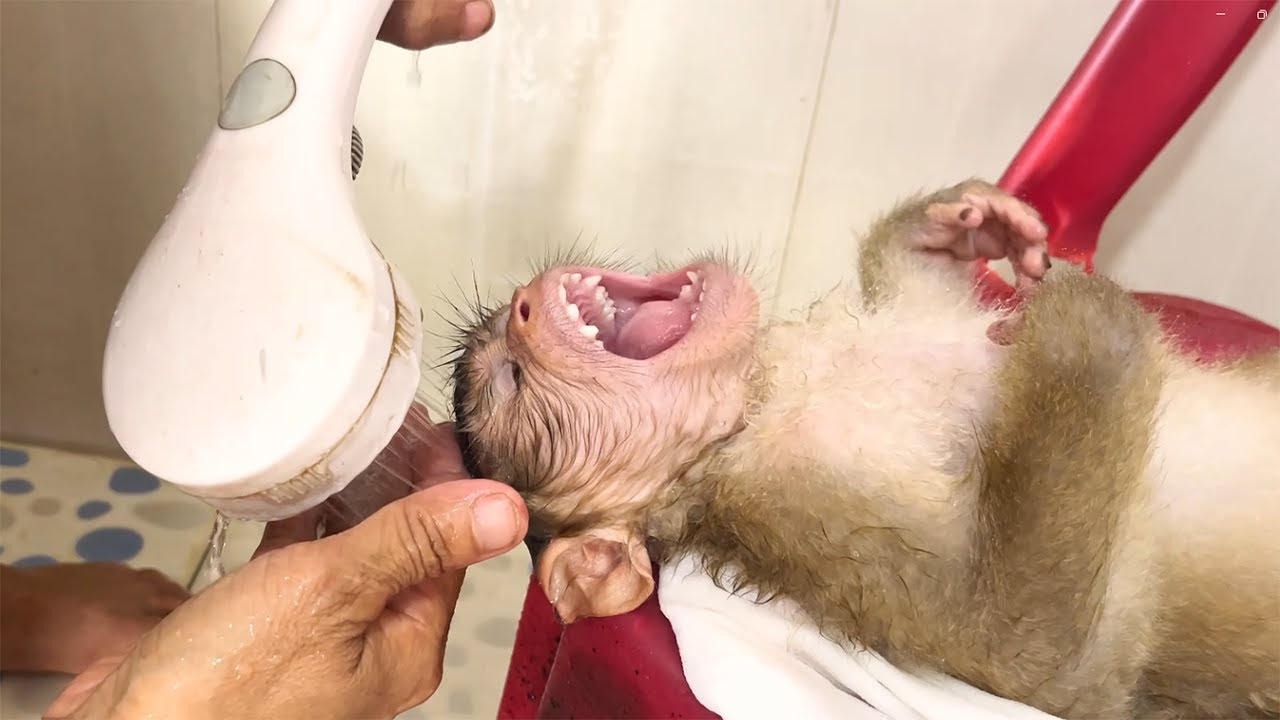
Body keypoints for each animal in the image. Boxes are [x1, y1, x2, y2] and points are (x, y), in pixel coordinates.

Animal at [447, 179, 1280, 719]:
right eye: (509, 380)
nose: (523, 308)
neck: (759, 395)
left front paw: (955, 224)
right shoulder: (795, 507)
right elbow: (1052, 660)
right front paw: (1086, 328)